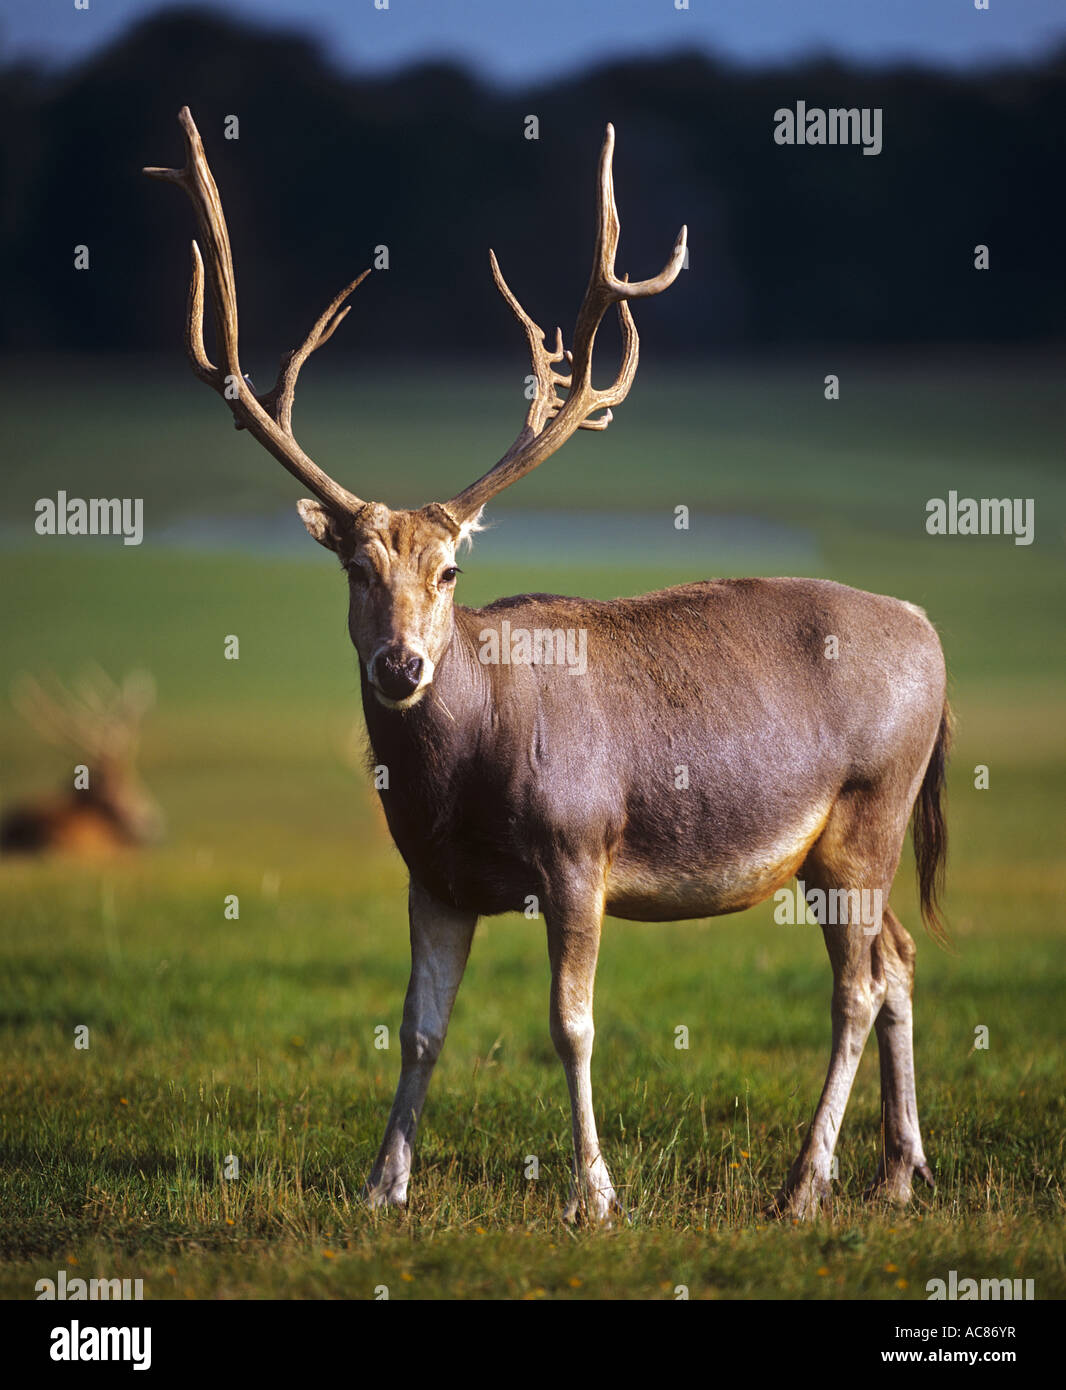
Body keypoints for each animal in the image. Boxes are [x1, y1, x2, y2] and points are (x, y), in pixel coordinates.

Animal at [146, 108, 949, 1221]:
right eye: (355, 566)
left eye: (449, 569)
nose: (401, 665)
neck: (463, 775)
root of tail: (930, 632)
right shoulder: (431, 875)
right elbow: (419, 1029)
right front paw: (381, 1186)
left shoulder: (579, 846)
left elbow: (572, 1025)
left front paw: (594, 1194)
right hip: (851, 841)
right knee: (902, 960)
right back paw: (899, 1171)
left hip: (870, 808)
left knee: (859, 984)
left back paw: (803, 1185)